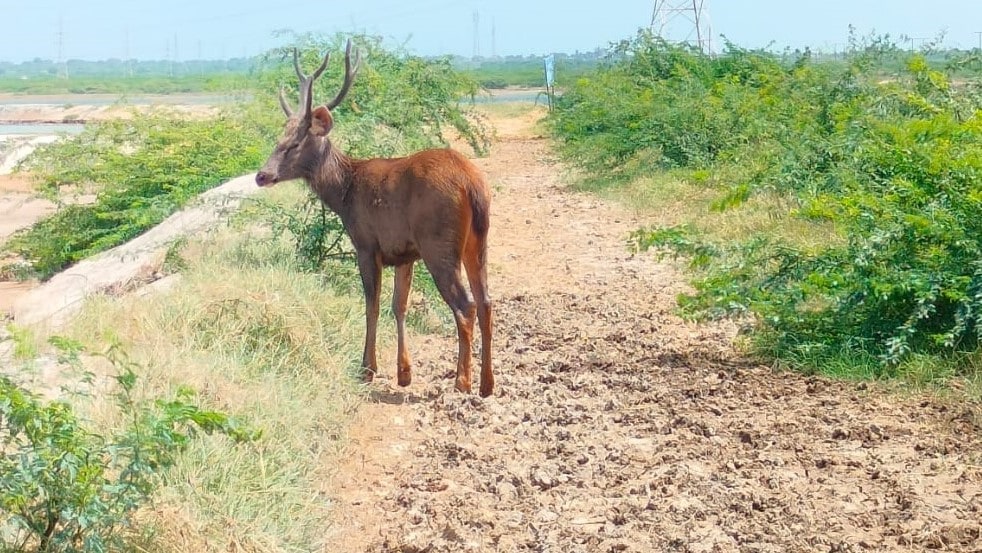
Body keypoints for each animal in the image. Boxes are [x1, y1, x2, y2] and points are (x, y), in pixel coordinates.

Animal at [255, 40, 494, 397]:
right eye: (277, 141)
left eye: (295, 144)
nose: (262, 175)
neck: (344, 193)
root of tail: (472, 184)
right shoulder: (405, 252)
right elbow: (399, 305)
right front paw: (404, 373)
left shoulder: (366, 243)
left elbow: (372, 304)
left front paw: (367, 369)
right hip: (477, 239)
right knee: (486, 301)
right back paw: (487, 384)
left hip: (439, 240)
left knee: (465, 304)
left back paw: (461, 381)